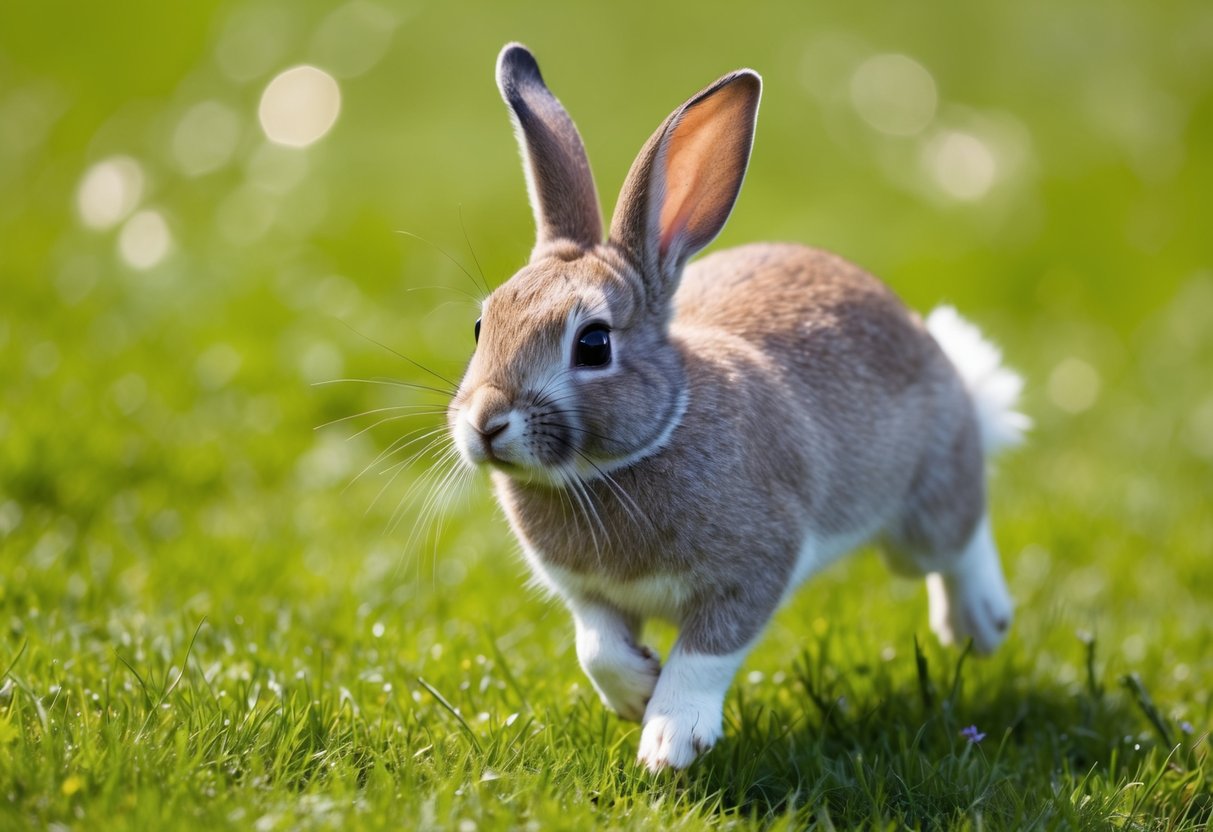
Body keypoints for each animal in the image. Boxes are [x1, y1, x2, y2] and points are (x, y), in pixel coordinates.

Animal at [447, 43, 1028, 772]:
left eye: (593, 343)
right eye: (480, 327)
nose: (485, 423)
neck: (637, 448)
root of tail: (929, 345)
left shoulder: (752, 569)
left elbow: (704, 654)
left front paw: (669, 739)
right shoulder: (586, 594)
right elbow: (596, 646)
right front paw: (636, 690)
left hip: (918, 514)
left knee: (958, 530)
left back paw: (980, 621)